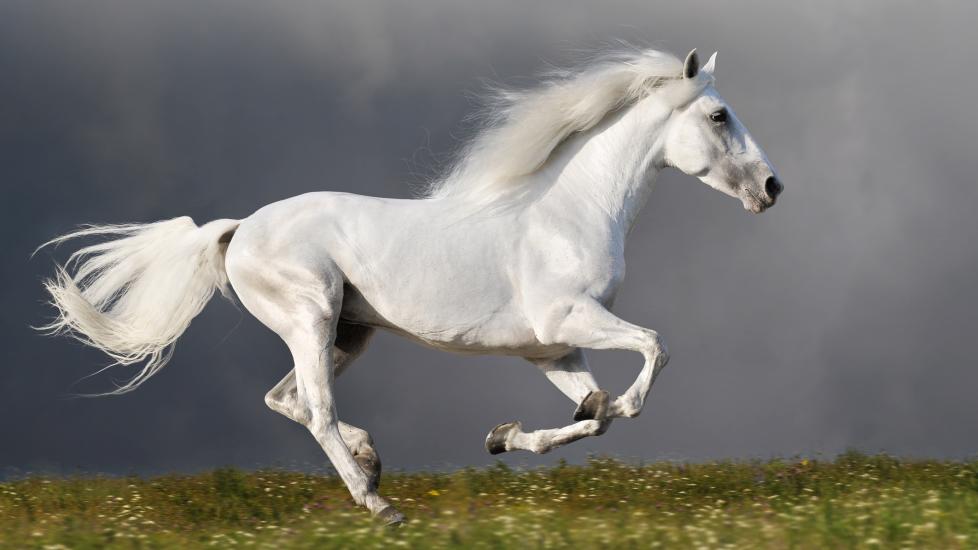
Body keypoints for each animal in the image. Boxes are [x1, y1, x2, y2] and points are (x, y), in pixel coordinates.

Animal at [38, 47, 783, 525]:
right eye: (719, 116)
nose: (773, 187)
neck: (567, 211)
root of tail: (240, 228)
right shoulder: (569, 320)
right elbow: (652, 352)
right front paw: (612, 405)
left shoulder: (551, 349)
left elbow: (591, 415)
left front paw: (504, 437)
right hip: (311, 318)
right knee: (315, 408)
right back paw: (378, 504)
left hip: (348, 333)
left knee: (288, 399)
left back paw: (371, 462)